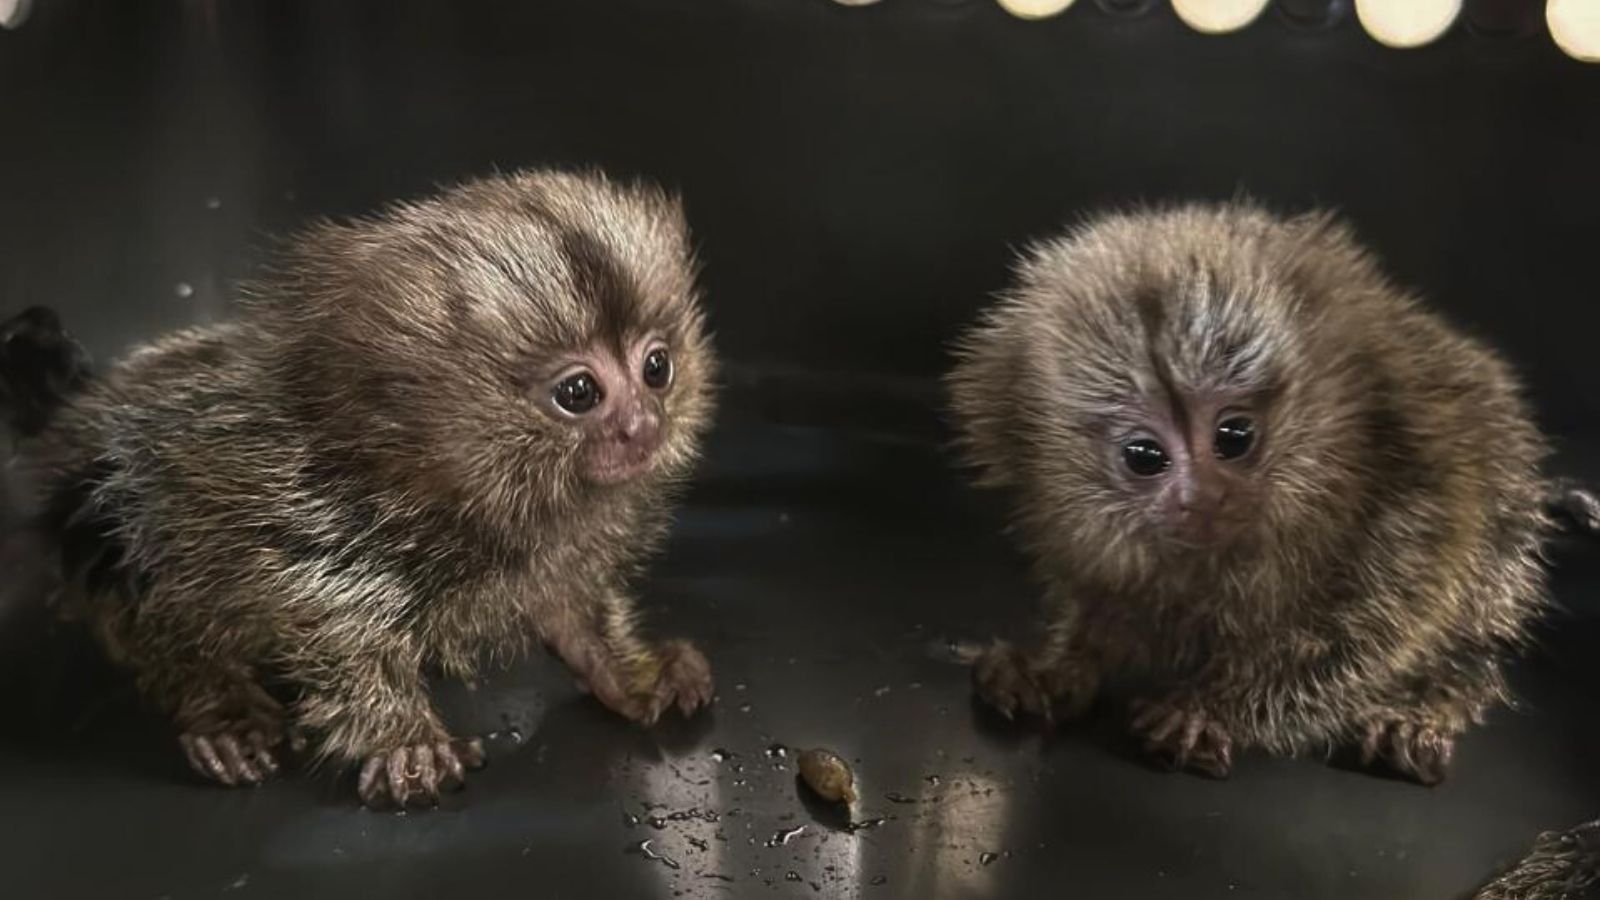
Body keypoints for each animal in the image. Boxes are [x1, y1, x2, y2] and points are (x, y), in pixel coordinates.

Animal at [0, 169, 717, 808]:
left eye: (656, 368)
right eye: (579, 392)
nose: (642, 425)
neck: (434, 481)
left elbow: (573, 607)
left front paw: (627, 672)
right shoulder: (312, 511)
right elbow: (335, 629)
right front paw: (404, 738)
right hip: (106, 502)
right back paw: (219, 708)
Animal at [948, 202, 1555, 785]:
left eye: (1233, 437)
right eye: (1144, 455)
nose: (1200, 496)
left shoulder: (1414, 487)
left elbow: (1376, 631)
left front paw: (1213, 707)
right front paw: (1056, 666)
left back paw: (1430, 705)